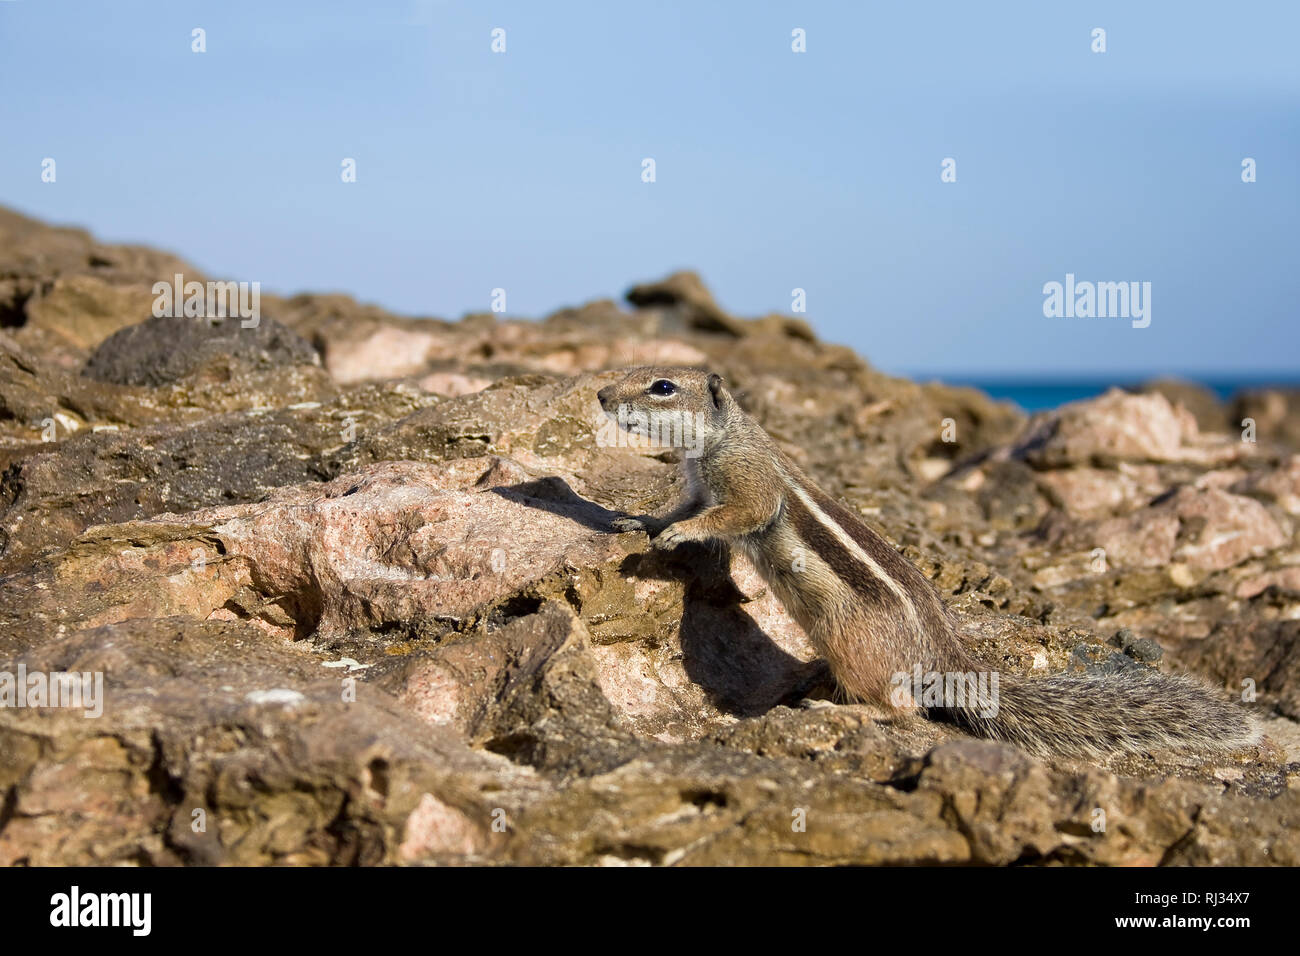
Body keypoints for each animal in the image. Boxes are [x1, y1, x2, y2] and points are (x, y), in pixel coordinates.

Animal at [597, 366, 1259, 758]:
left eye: (661, 386)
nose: (601, 395)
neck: (724, 437)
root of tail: (945, 654)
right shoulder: (700, 485)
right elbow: (684, 505)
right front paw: (643, 521)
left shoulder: (748, 487)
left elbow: (735, 516)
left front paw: (676, 535)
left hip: (853, 642)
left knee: (904, 711)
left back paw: (841, 710)